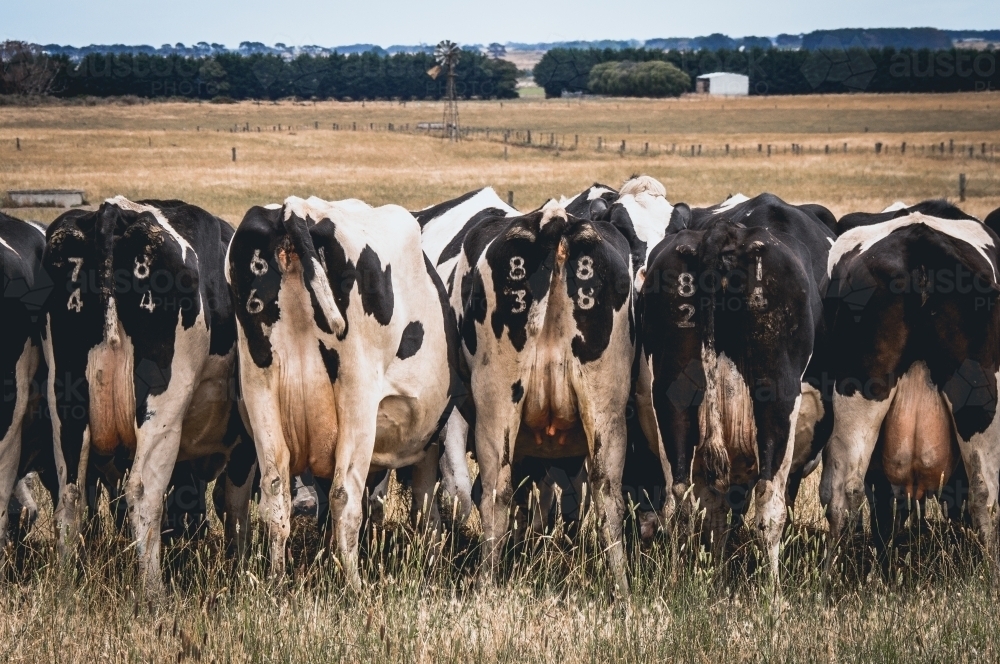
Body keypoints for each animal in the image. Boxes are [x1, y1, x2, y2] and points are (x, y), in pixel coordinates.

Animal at [41, 197, 252, 593]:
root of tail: (114, 210)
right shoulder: (245, 443)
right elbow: (235, 504)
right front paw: (242, 565)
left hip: (65, 401)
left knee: (70, 494)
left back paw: (66, 583)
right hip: (162, 407)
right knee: (142, 492)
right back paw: (154, 592)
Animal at [228, 196, 457, 587]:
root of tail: (295, 208)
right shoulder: (427, 441)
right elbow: (425, 507)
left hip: (260, 389)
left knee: (275, 490)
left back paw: (276, 581)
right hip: (357, 393)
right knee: (344, 494)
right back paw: (354, 585)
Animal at [636, 192, 835, 582]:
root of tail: (726, 232)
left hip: (672, 398)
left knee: (679, 500)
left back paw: (679, 579)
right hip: (776, 402)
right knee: (769, 505)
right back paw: (772, 590)